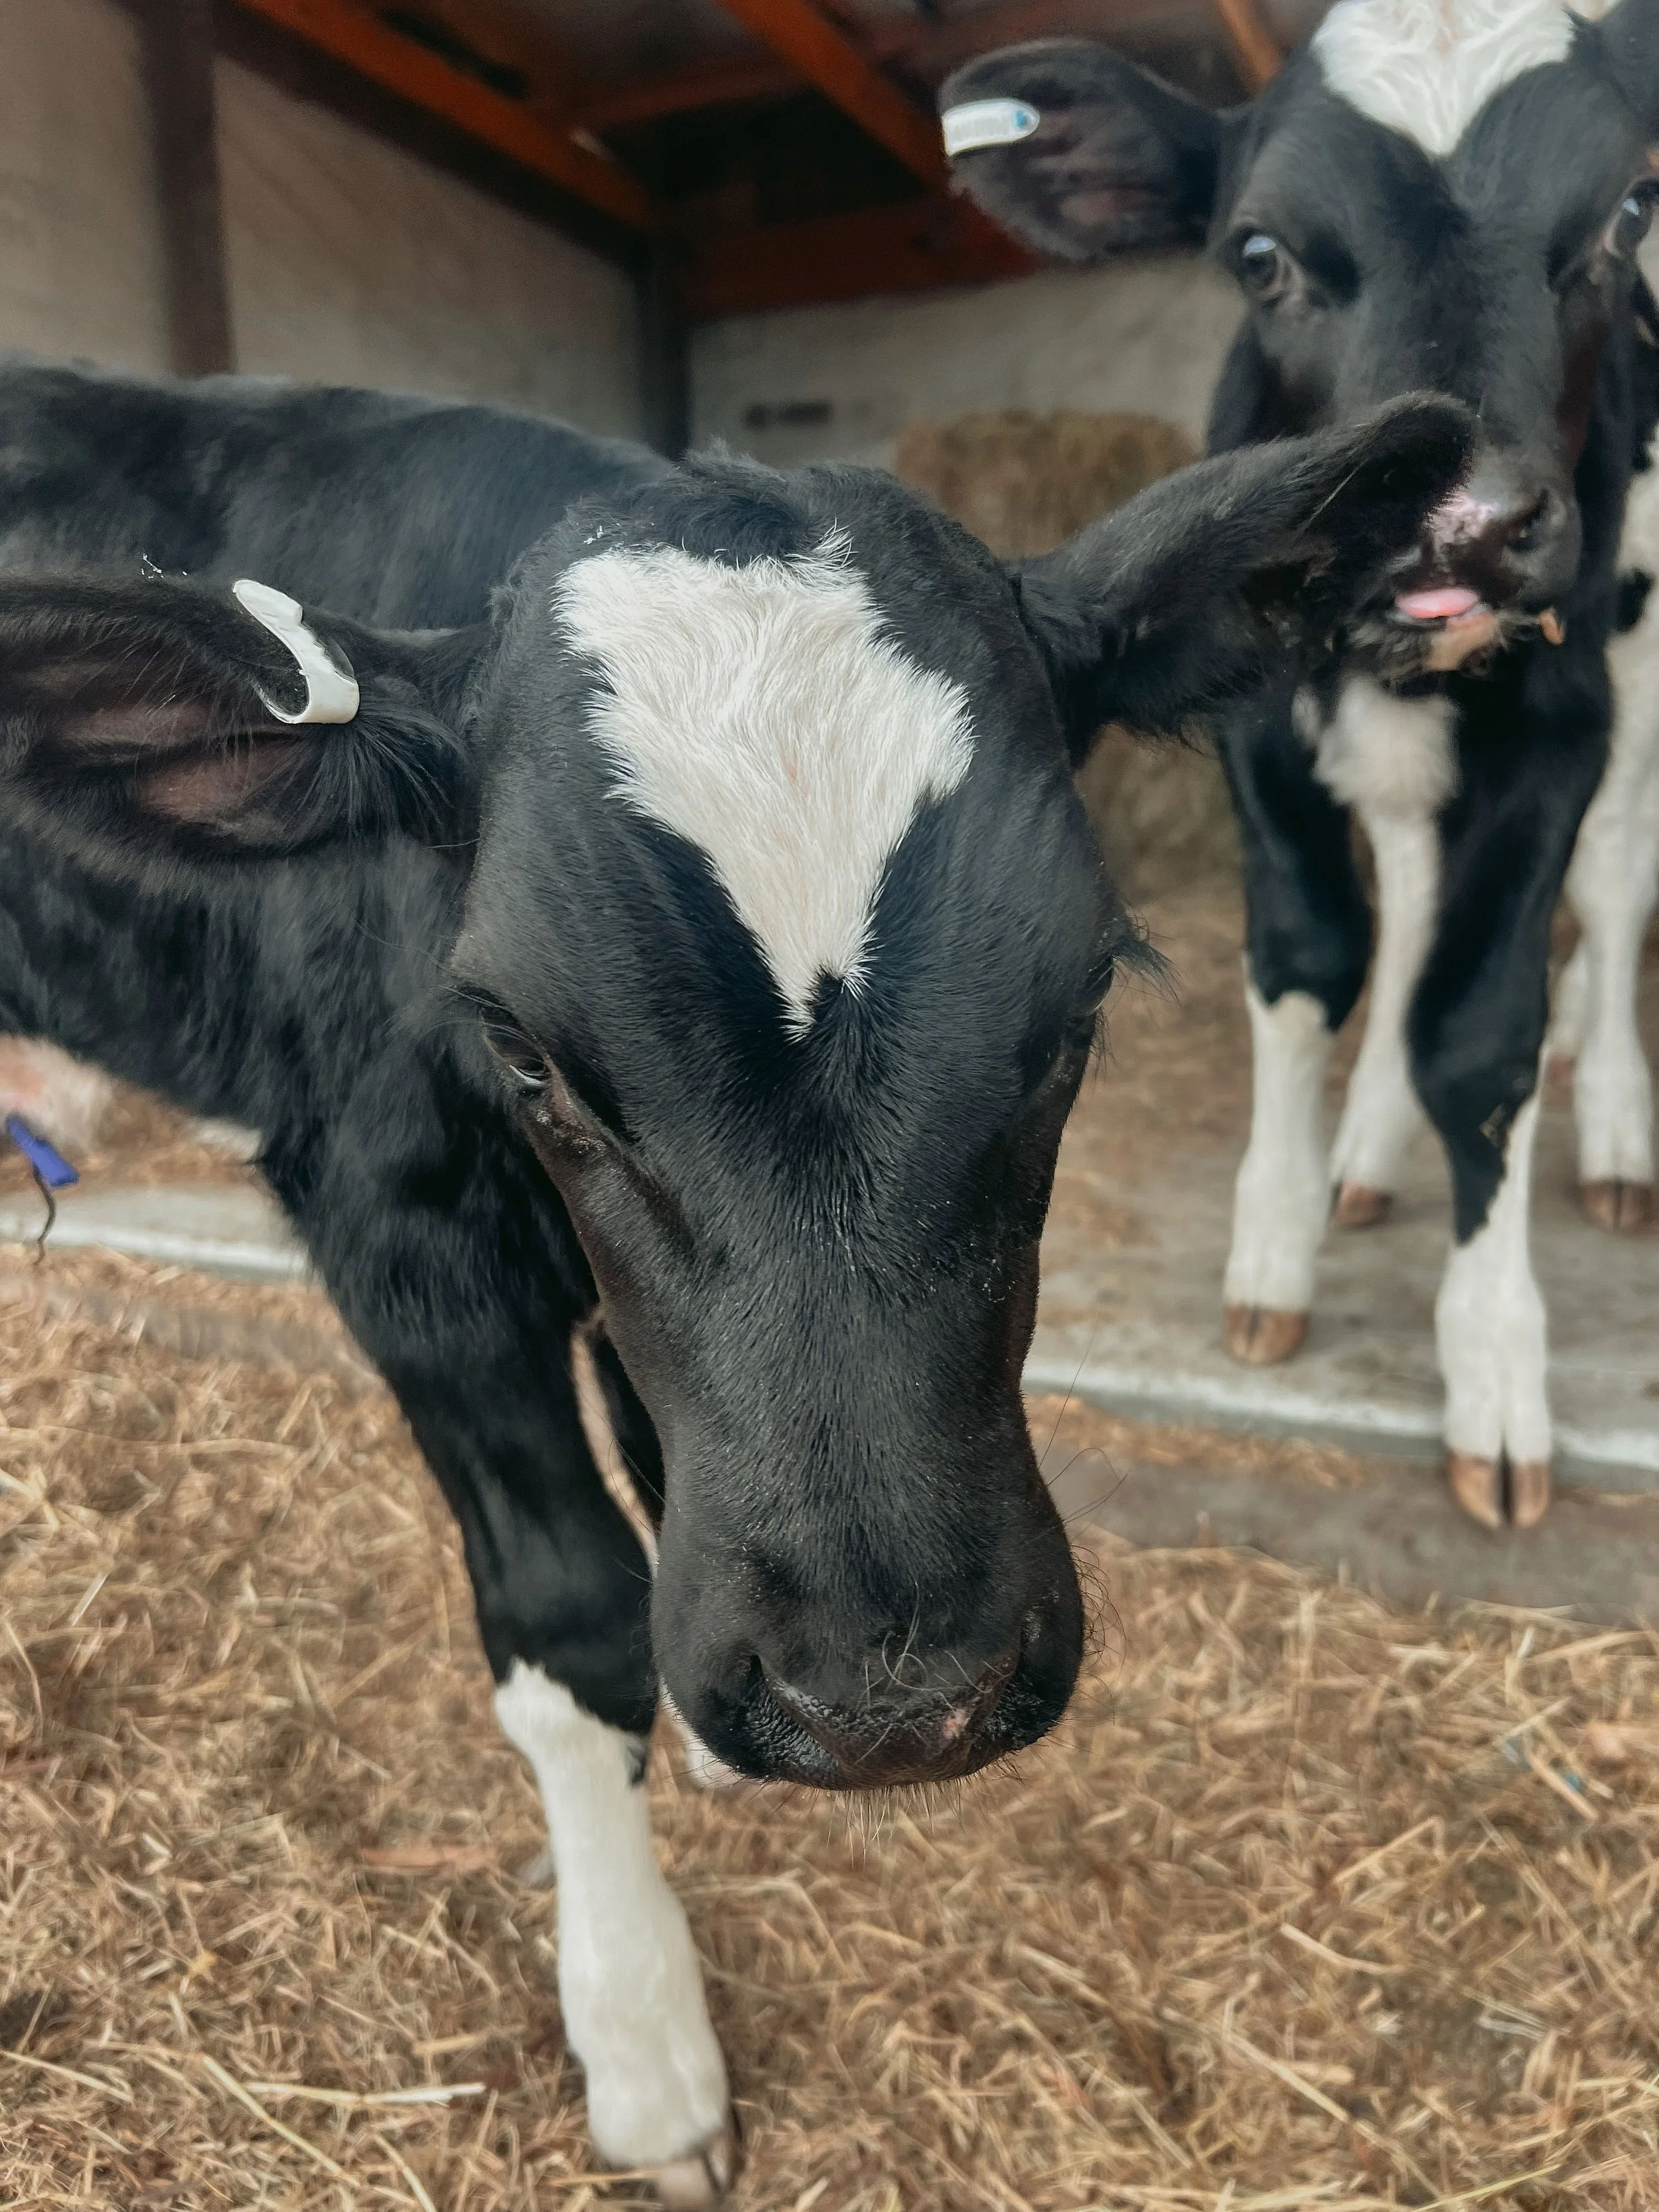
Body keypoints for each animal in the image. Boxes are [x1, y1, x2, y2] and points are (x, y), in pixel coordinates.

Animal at [0, 357, 1469, 2199]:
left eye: (1076, 1015)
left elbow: (662, 1467)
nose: (892, 1704)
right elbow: (571, 1620)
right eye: (519, 1048)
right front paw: (643, 2042)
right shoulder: (405, 1237)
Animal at [942, 0, 1659, 1532]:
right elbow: (1309, 961)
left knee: (1615, 885)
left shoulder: (1560, 719)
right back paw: (1365, 1149)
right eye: (1258, 253)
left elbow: (1480, 1034)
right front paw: (1271, 1247)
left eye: (1628, 212)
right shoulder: (1254, 721)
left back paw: (1615, 1123)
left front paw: (1493, 1359)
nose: (1459, 524)